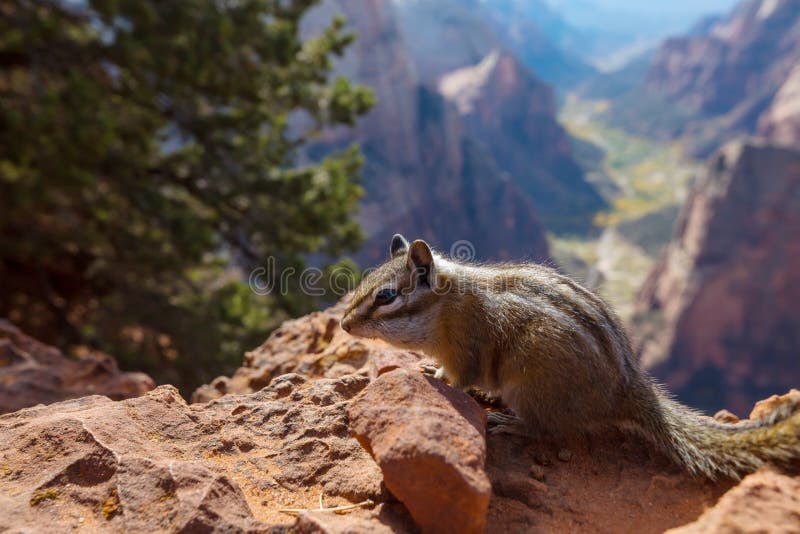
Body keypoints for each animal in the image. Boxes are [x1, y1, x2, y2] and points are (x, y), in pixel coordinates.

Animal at [341, 234, 800, 479]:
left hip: (529, 385)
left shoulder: (466, 347)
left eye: (387, 297)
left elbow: (458, 378)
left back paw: (509, 423)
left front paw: (437, 378)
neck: (445, 306)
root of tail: (625, 390)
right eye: (367, 280)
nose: (344, 324)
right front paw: (427, 365)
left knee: (549, 429)